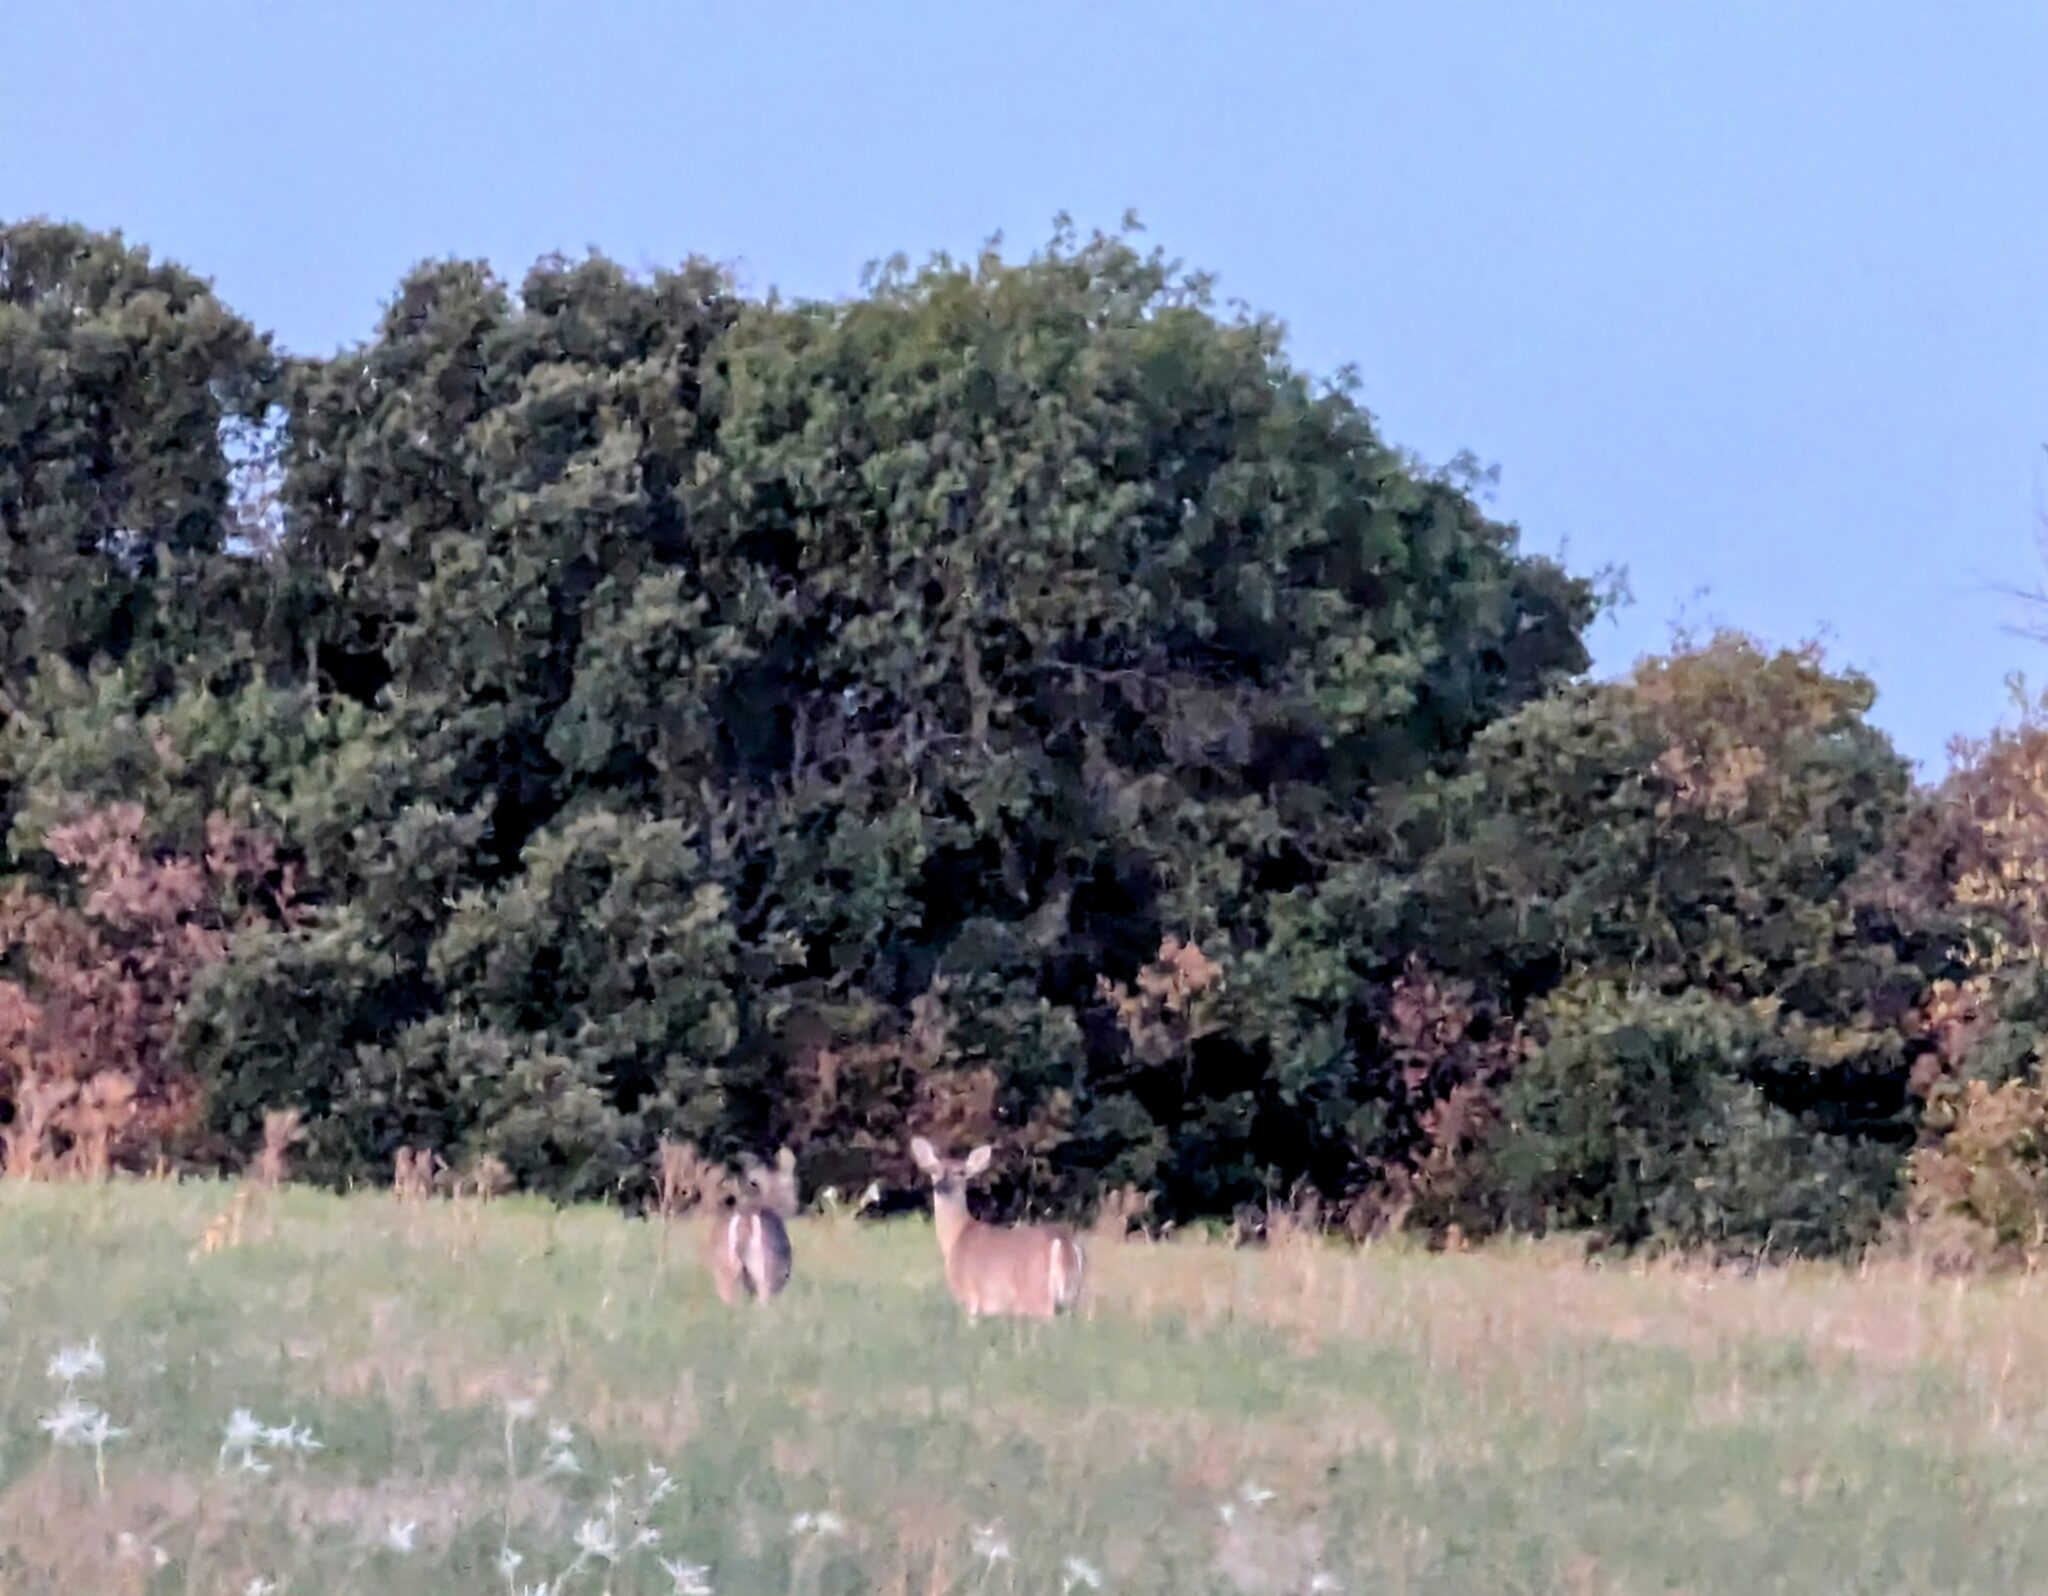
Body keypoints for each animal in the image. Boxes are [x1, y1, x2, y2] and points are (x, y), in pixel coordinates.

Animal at [909, 1137, 1086, 1320]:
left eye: (961, 1172)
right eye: (933, 1170)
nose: (941, 1186)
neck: (956, 1237)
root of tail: (1062, 1241)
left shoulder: (970, 1298)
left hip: (1037, 1295)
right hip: (1071, 1297)